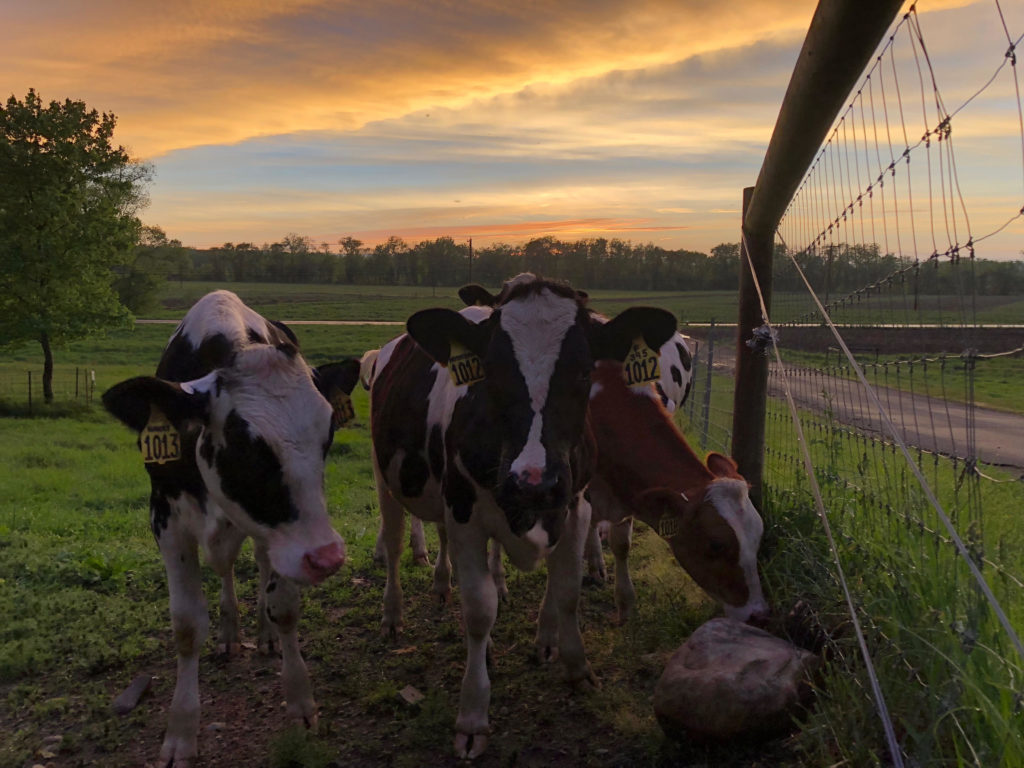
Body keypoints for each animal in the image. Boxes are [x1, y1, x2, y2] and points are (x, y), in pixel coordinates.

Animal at [102, 290, 358, 768]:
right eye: (244, 444)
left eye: (328, 434)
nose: (328, 557)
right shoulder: (165, 517)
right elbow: (187, 626)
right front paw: (181, 732)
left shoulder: (286, 539)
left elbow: (284, 606)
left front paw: (300, 701)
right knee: (224, 567)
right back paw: (229, 633)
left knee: (257, 566)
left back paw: (263, 635)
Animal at [369, 278, 676, 758]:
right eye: (491, 372)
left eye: (585, 372)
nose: (534, 481)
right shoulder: (465, 515)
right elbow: (478, 611)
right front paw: (472, 715)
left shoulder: (574, 506)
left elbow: (567, 591)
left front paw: (576, 667)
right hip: (388, 482)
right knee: (397, 546)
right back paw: (393, 615)